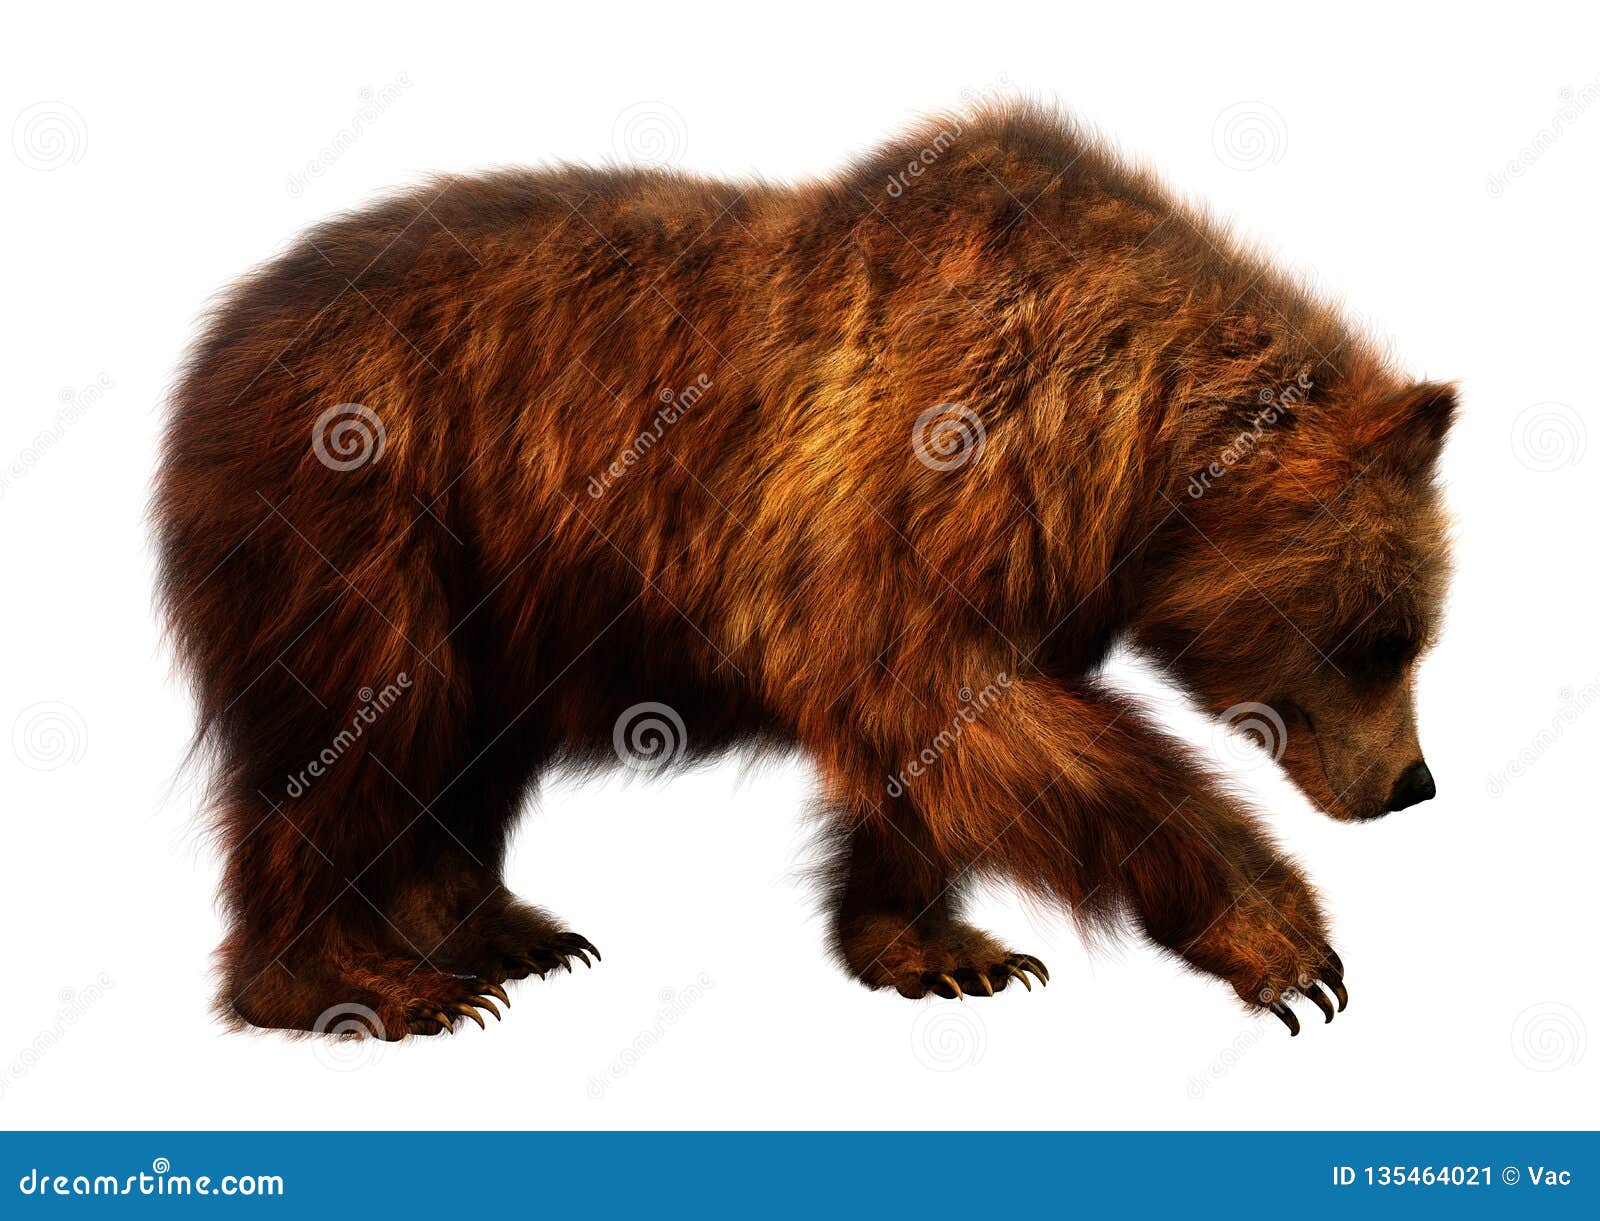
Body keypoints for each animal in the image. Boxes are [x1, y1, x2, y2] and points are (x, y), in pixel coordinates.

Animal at [155, 101, 1452, 1039]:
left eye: (1417, 634)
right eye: (1379, 638)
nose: (1412, 784)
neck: (1105, 448)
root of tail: (228, 319)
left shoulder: (1024, 567)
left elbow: (941, 748)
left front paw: (940, 950)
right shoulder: (918, 482)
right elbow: (954, 704)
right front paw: (1289, 945)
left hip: (498, 586)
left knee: (457, 746)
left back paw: (495, 930)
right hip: (365, 503)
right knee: (359, 721)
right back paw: (362, 983)